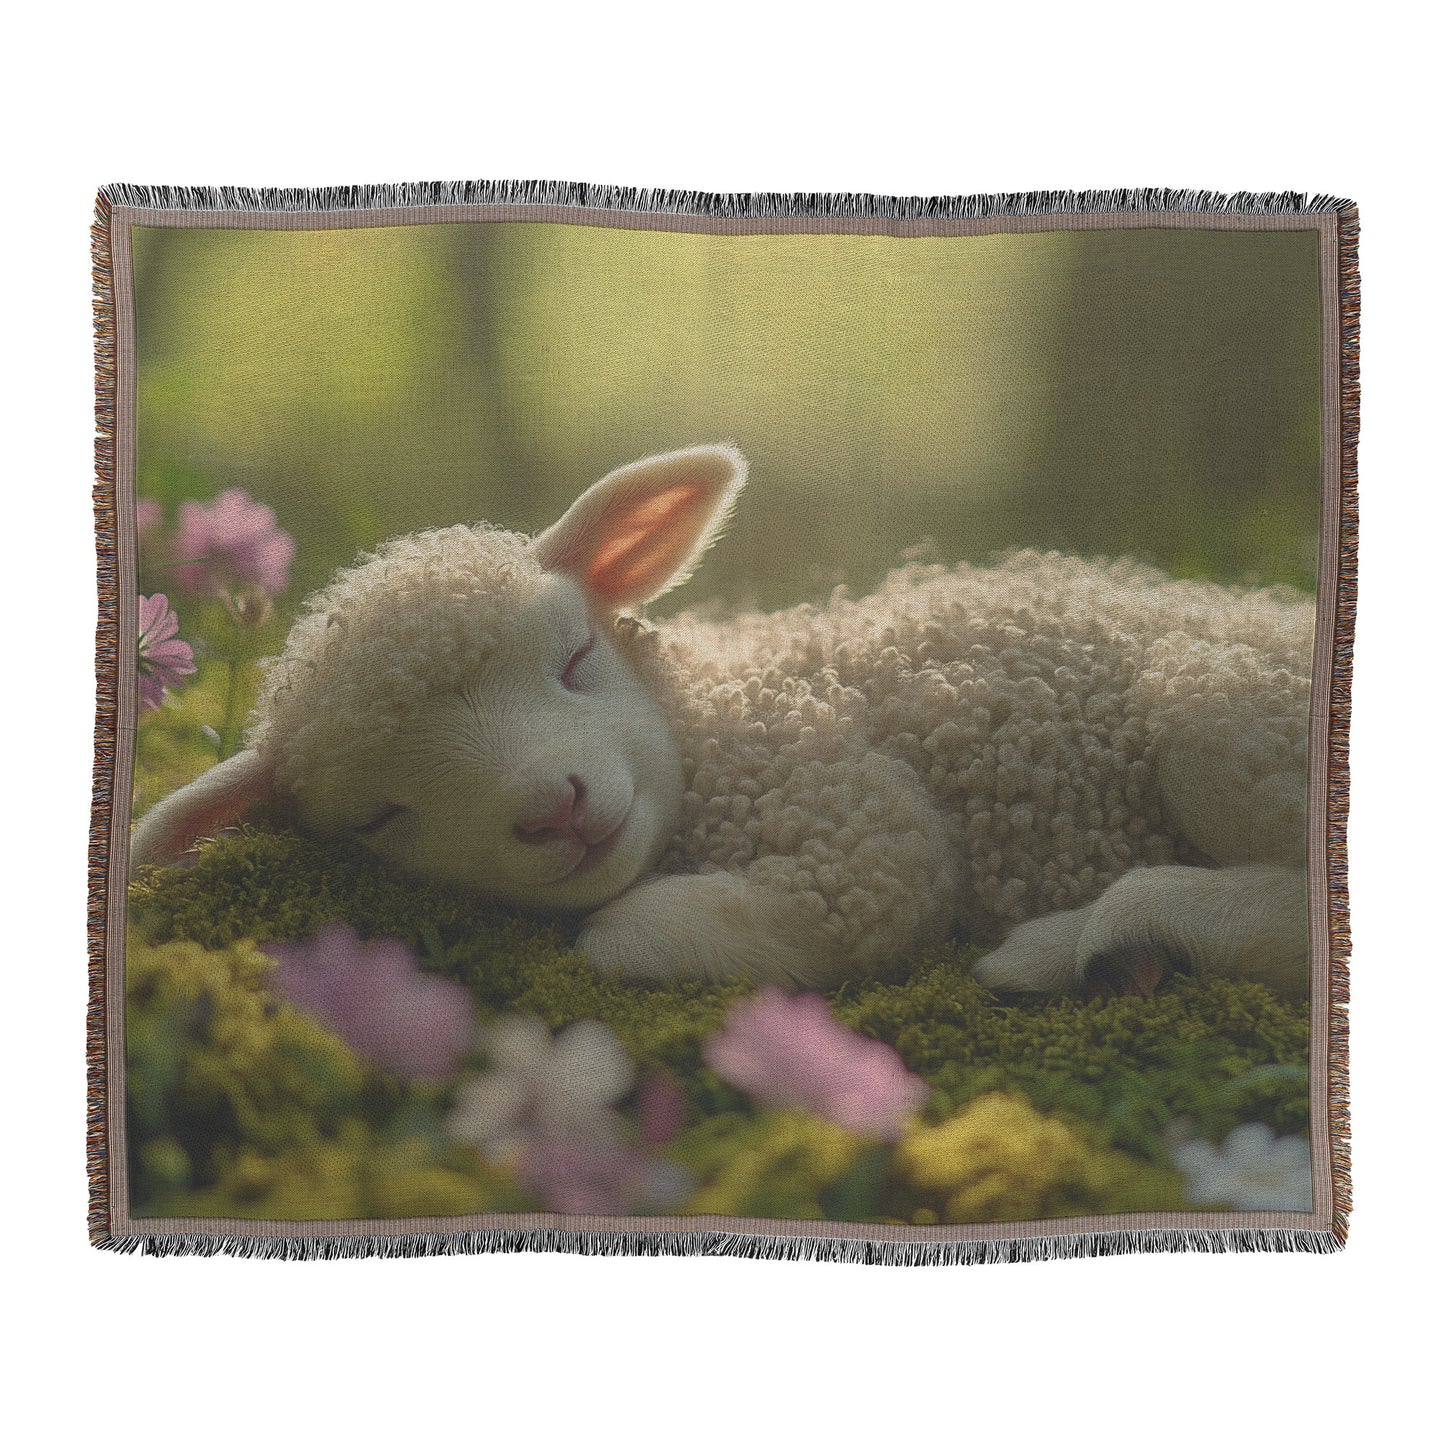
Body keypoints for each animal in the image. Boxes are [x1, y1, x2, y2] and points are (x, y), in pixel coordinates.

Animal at [132, 444, 1314, 997]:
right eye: (383, 815)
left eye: (574, 655)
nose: (554, 807)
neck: (719, 714)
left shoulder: (853, 825)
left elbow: (622, 932)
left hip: (1227, 713)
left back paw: (1097, 933)